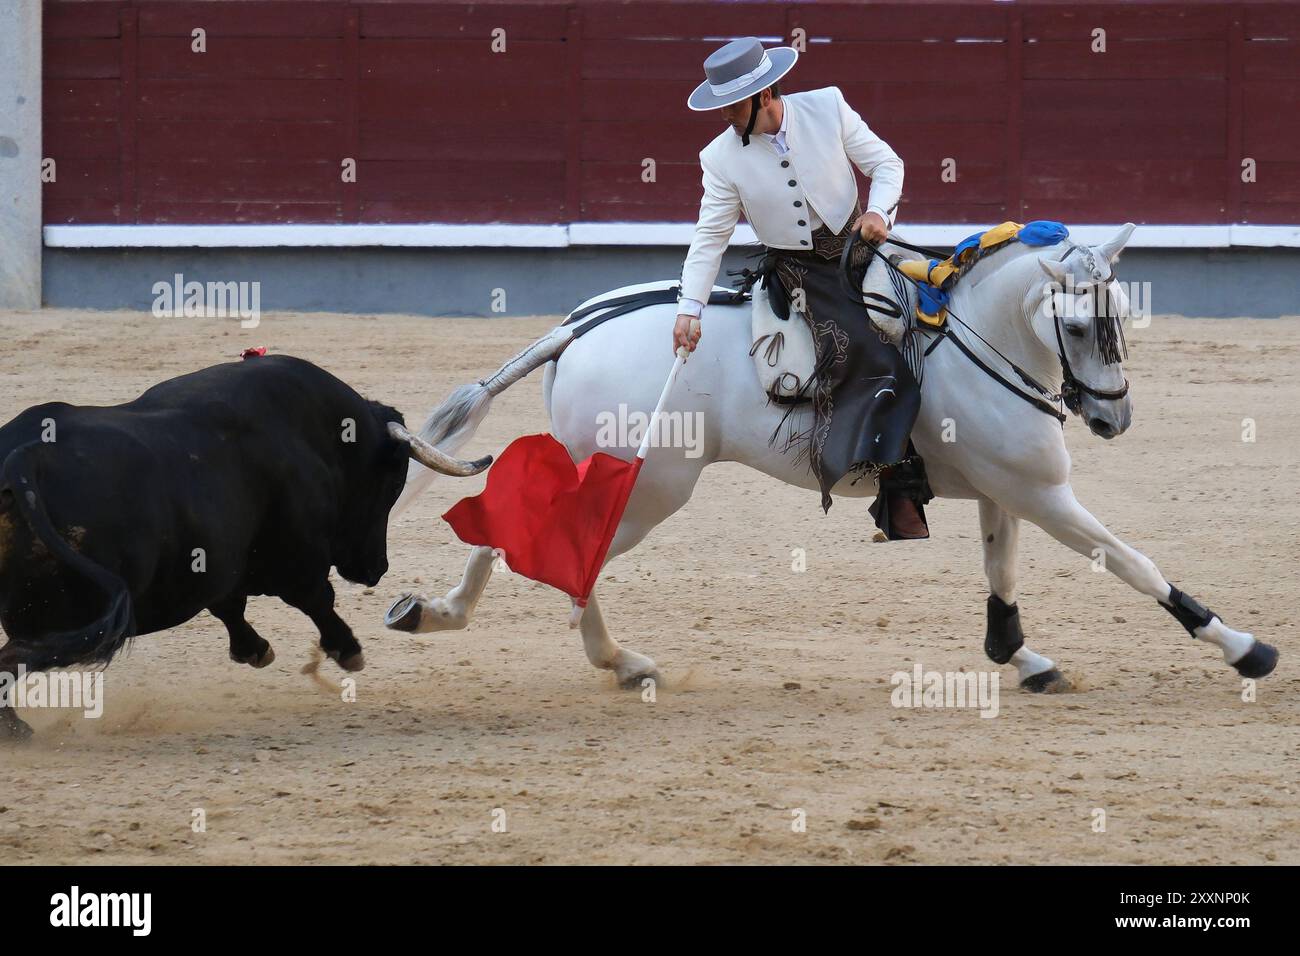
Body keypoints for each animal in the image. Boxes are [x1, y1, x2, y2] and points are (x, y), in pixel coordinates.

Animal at [0, 354, 489, 741]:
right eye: (391, 482)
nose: (376, 568)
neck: (312, 432)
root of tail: (28, 456)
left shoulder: (218, 563)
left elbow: (230, 606)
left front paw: (253, 649)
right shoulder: (298, 561)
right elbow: (316, 600)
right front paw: (347, 649)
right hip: (70, 618)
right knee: (13, 661)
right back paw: (18, 729)